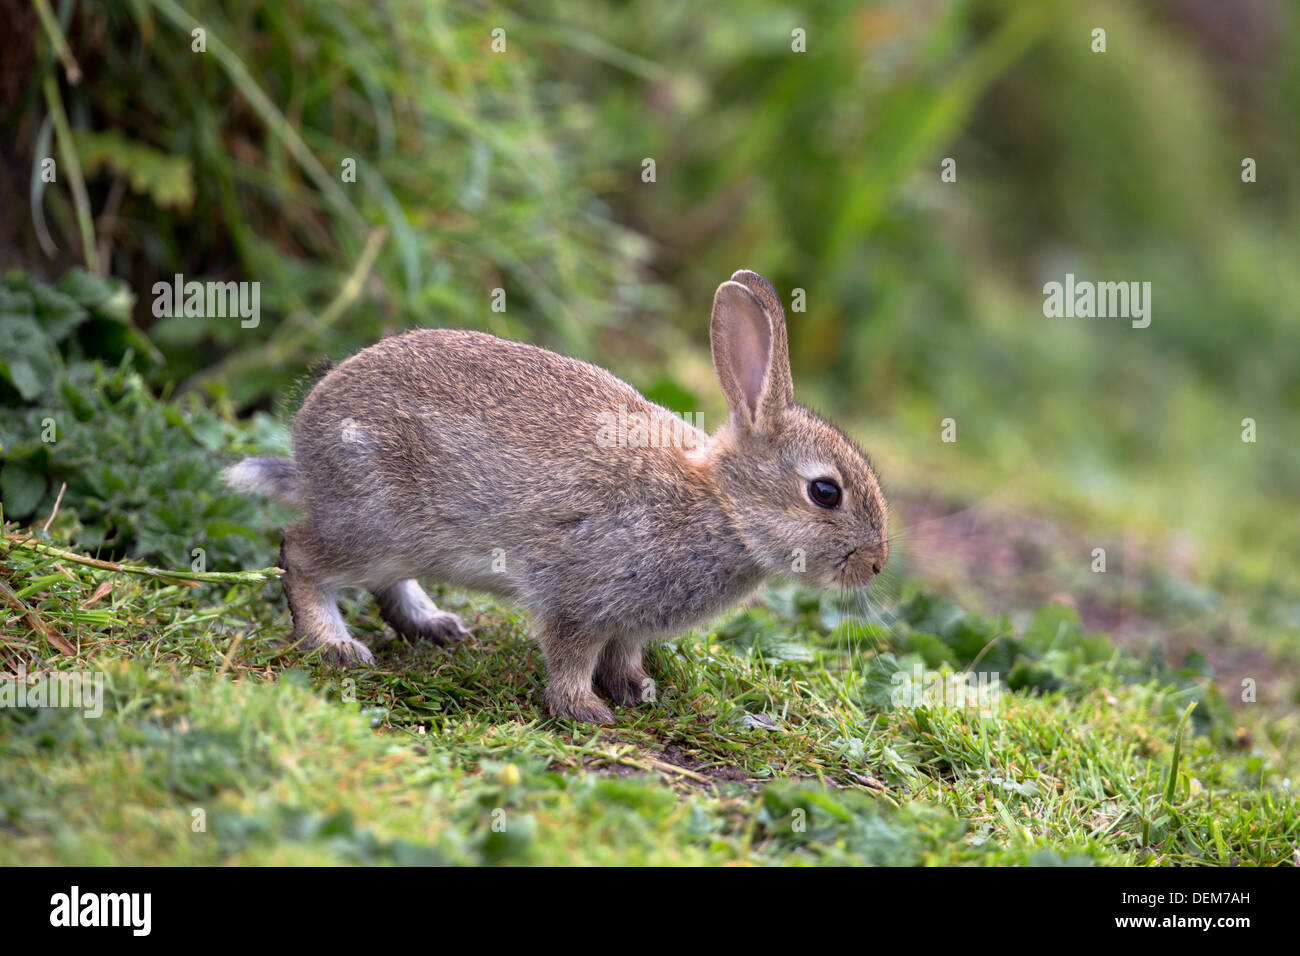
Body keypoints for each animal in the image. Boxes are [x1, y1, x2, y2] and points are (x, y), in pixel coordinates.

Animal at [225, 269, 888, 724]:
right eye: (825, 492)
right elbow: (571, 654)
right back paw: (337, 646)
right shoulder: (581, 593)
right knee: (299, 550)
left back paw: (435, 625)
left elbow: (623, 655)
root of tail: (306, 438)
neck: (721, 506)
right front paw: (585, 711)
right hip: (374, 523)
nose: (876, 565)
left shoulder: (629, 621)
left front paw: (636, 690)